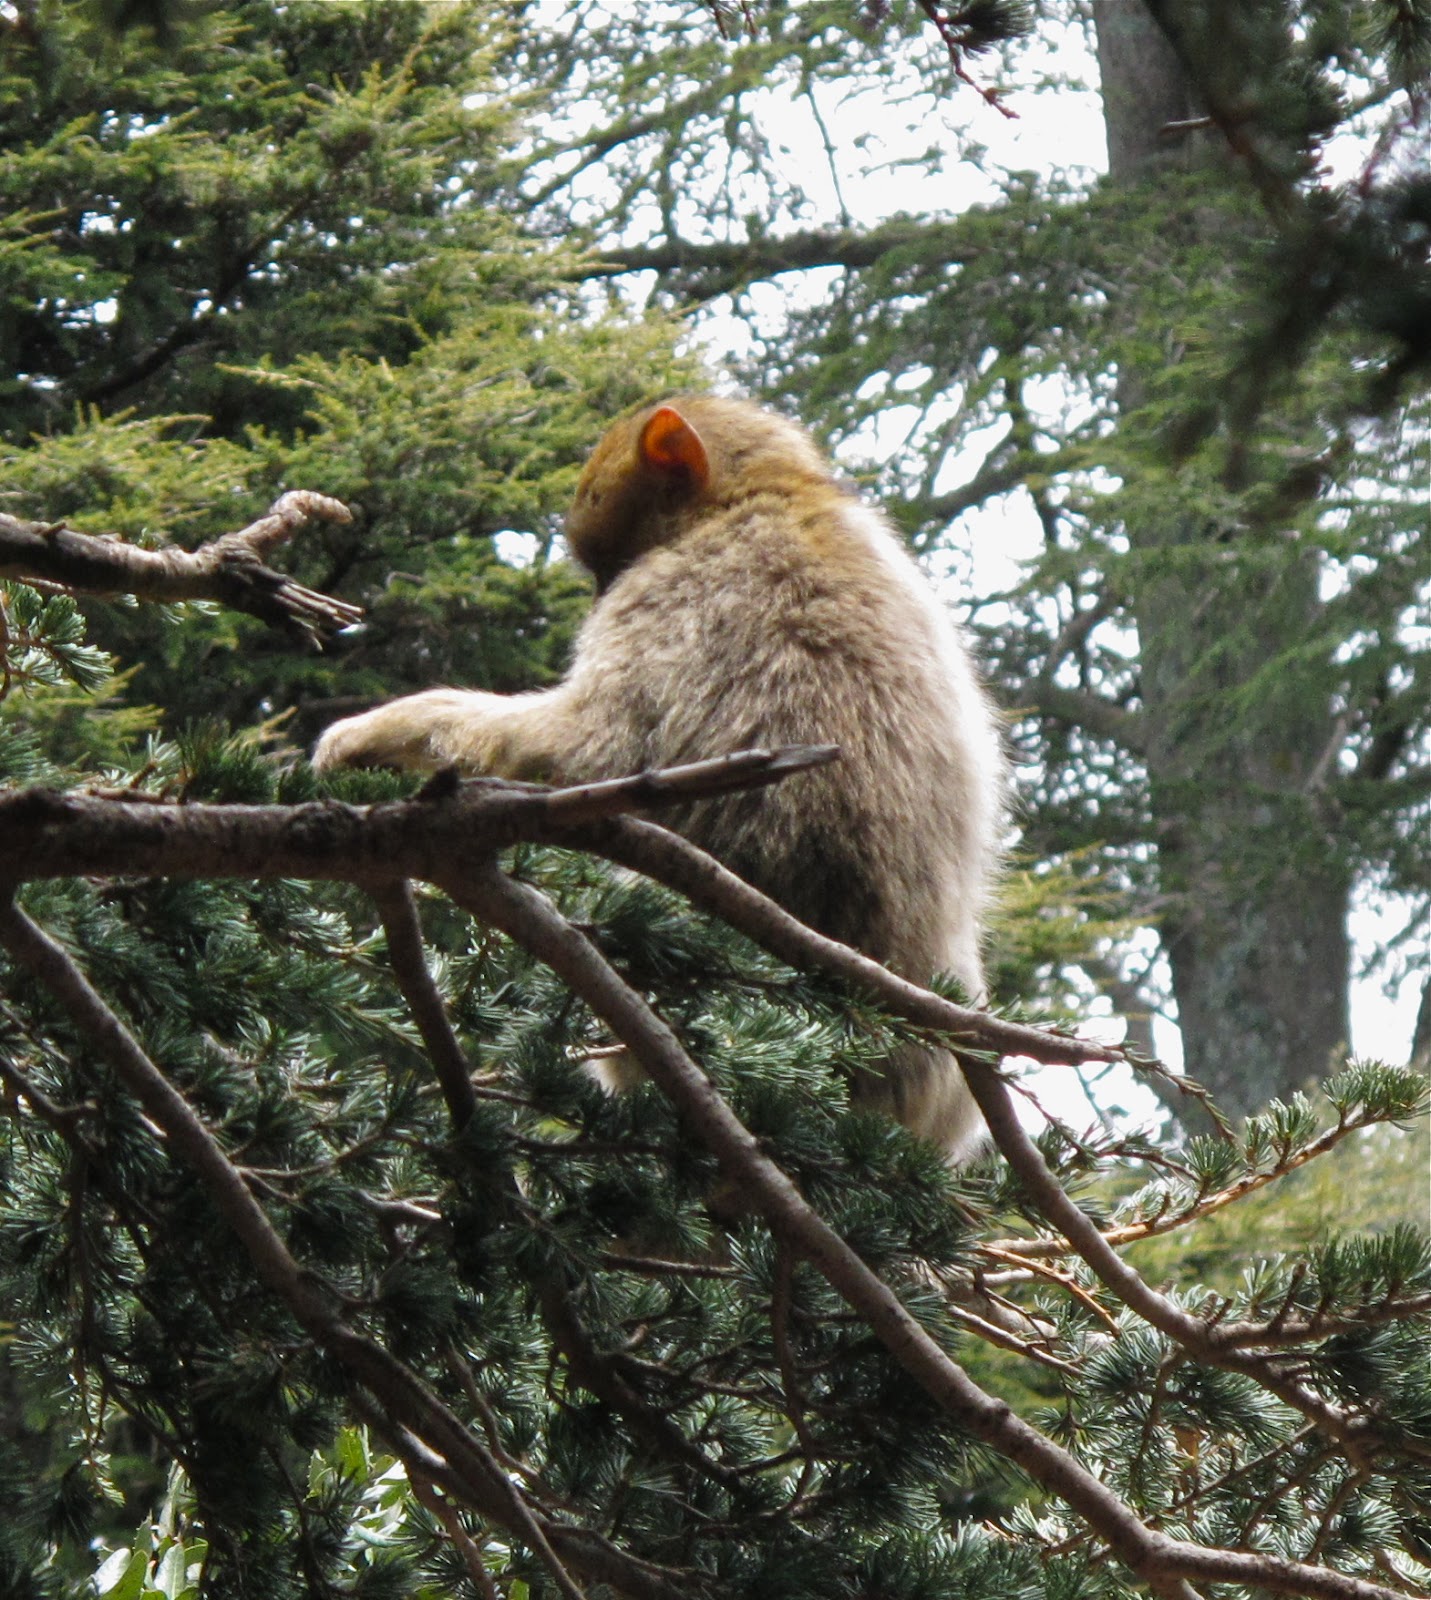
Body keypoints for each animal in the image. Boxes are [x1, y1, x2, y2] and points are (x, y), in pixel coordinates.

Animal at [313, 396, 1006, 1160]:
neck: (760, 496)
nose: (594, 599)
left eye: (610, 565)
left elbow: (590, 748)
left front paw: (383, 731)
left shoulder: (679, 588)